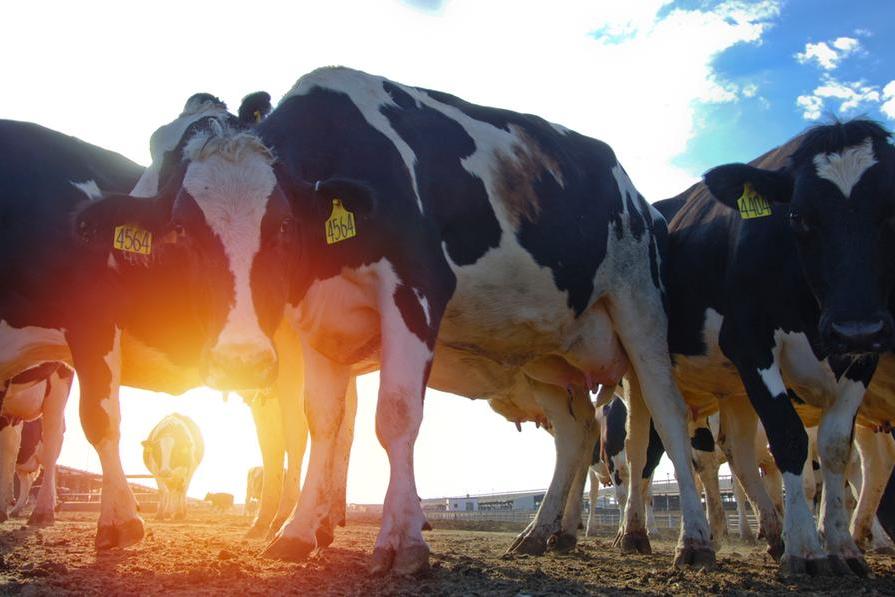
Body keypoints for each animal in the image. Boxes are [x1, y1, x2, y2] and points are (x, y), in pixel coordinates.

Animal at [83, 66, 714, 574]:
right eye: (184, 231)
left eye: (281, 227)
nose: (240, 361)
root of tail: (635, 192)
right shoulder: (318, 326)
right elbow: (323, 424)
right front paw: (297, 532)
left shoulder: (415, 291)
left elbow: (395, 417)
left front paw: (401, 541)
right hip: (544, 353)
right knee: (575, 431)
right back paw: (541, 534)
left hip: (639, 310)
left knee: (666, 416)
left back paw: (692, 540)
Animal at [654, 119, 895, 576]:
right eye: (797, 215)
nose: (854, 328)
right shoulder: (749, 343)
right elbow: (789, 437)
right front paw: (805, 548)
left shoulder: (863, 355)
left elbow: (835, 447)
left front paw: (841, 547)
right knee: (676, 439)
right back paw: (690, 540)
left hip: (731, 387)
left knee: (738, 451)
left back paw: (770, 532)